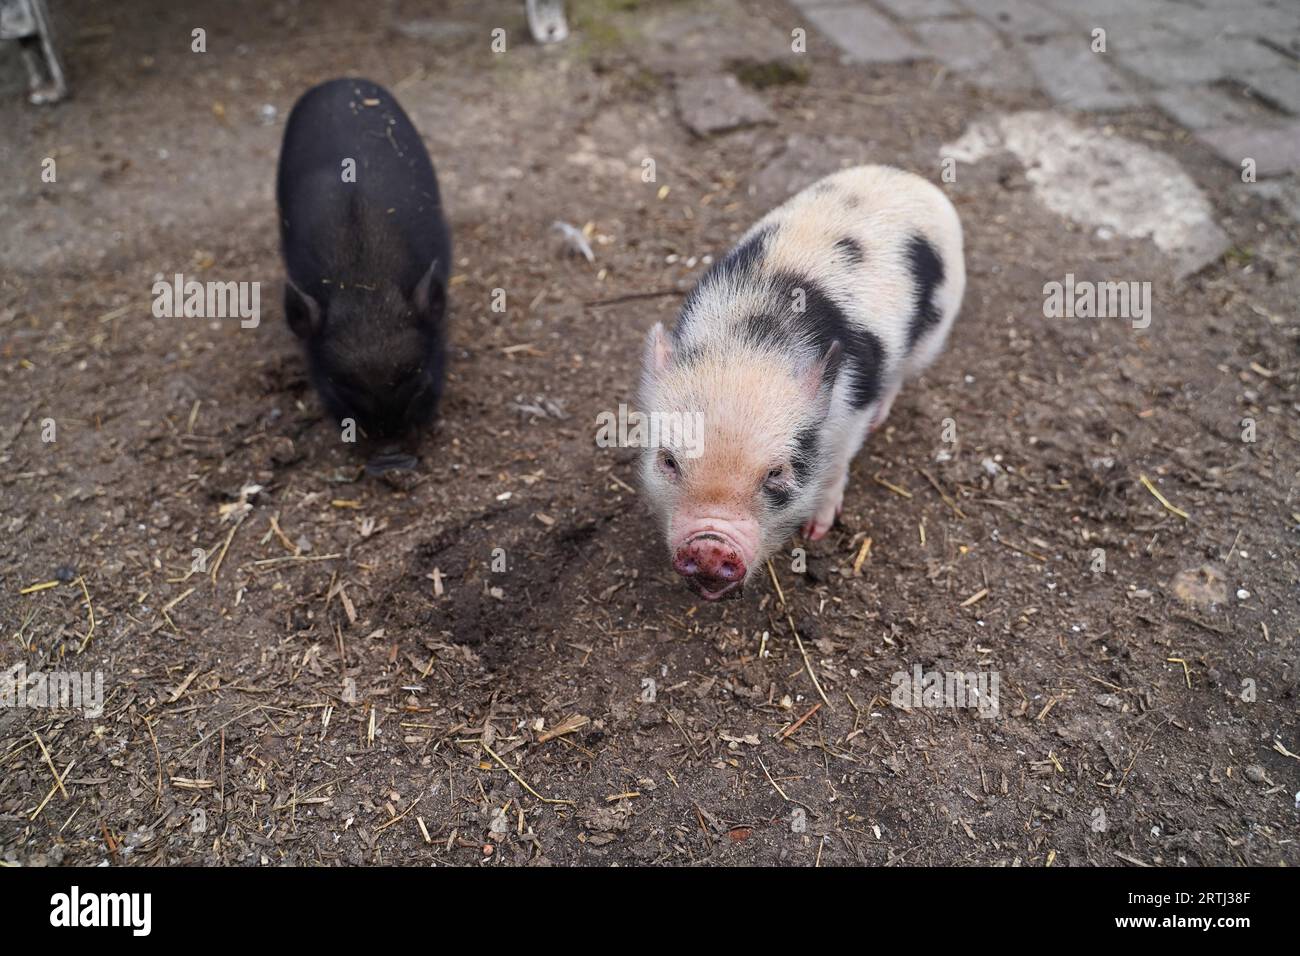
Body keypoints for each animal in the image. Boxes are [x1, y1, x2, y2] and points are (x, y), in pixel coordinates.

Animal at [639, 165, 965, 600]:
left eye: (777, 472)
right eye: (668, 461)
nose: (709, 546)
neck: (751, 345)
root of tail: (911, 179)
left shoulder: (852, 409)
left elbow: (837, 465)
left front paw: (816, 533)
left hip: (936, 328)